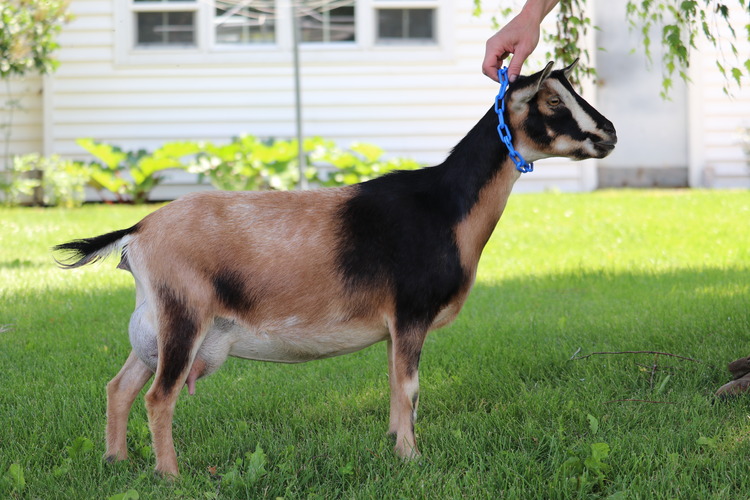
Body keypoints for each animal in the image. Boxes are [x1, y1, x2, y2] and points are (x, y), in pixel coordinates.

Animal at [54, 61, 616, 477]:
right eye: (552, 101)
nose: (609, 132)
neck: (445, 207)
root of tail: (139, 231)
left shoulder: (395, 327)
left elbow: (396, 387)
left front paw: (393, 444)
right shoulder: (411, 313)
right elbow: (411, 388)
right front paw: (412, 459)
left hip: (154, 325)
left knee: (120, 387)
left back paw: (115, 460)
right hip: (183, 318)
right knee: (158, 396)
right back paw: (170, 475)